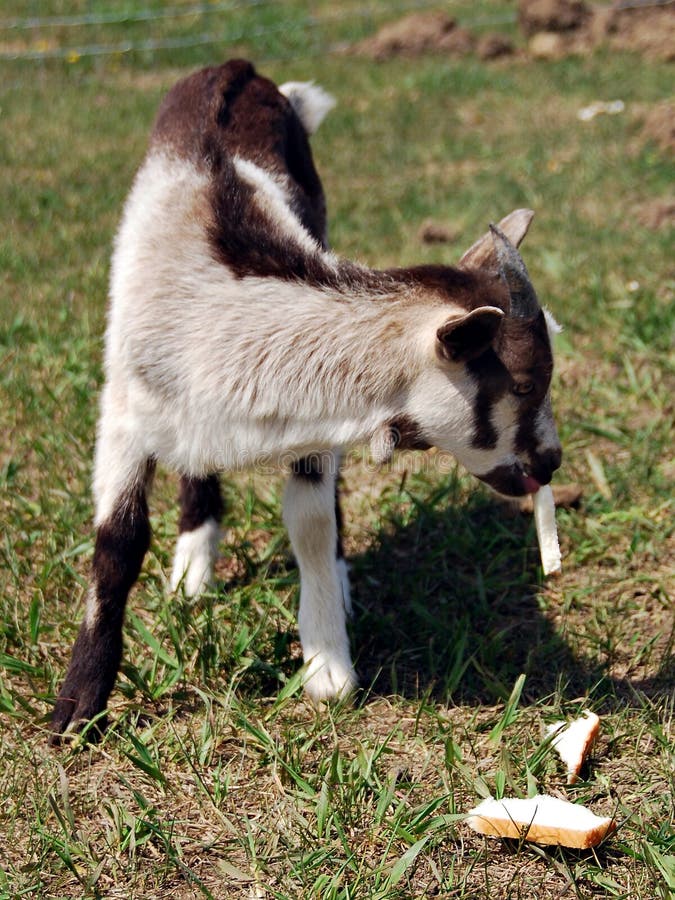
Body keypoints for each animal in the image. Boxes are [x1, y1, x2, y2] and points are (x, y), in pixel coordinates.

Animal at [51, 59, 562, 739]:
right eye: (525, 383)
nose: (551, 461)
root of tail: (236, 67)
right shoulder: (126, 414)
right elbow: (118, 542)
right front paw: (78, 704)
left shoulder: (311, 429)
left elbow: (313, 526)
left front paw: (326, 667)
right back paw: (192, 570)